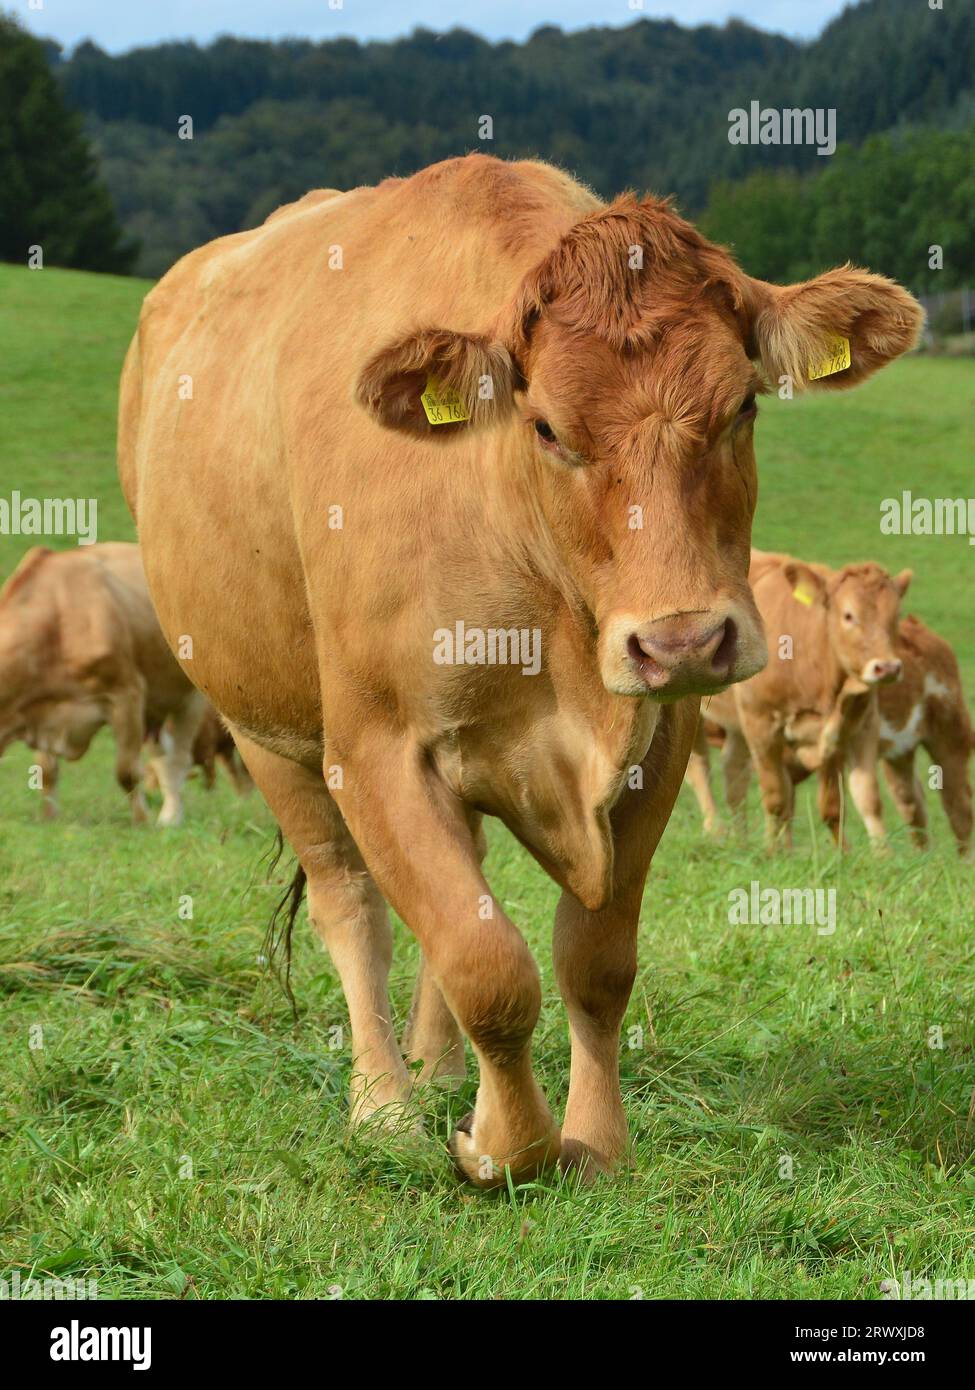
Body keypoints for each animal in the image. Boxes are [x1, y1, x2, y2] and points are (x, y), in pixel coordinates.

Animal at [0, 543, 208, 825]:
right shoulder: (37, 711)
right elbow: (47, 770)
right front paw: (49, 817)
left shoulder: (126, 693)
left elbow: (127, 771)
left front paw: (142, 820)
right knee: (161, 754)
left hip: (189, 698)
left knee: (177, 758)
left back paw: (170, 817)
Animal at [686, 550, 912, 847]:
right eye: (849, 615)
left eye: (896, 615)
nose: (887, 667)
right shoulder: (761, 723)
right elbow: (776, 797)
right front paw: (773, 852)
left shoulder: (855, 726)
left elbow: (854, 801)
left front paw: (863, 854)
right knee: (700, 768)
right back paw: (717, 831)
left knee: (734, 772)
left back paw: (741, 841)